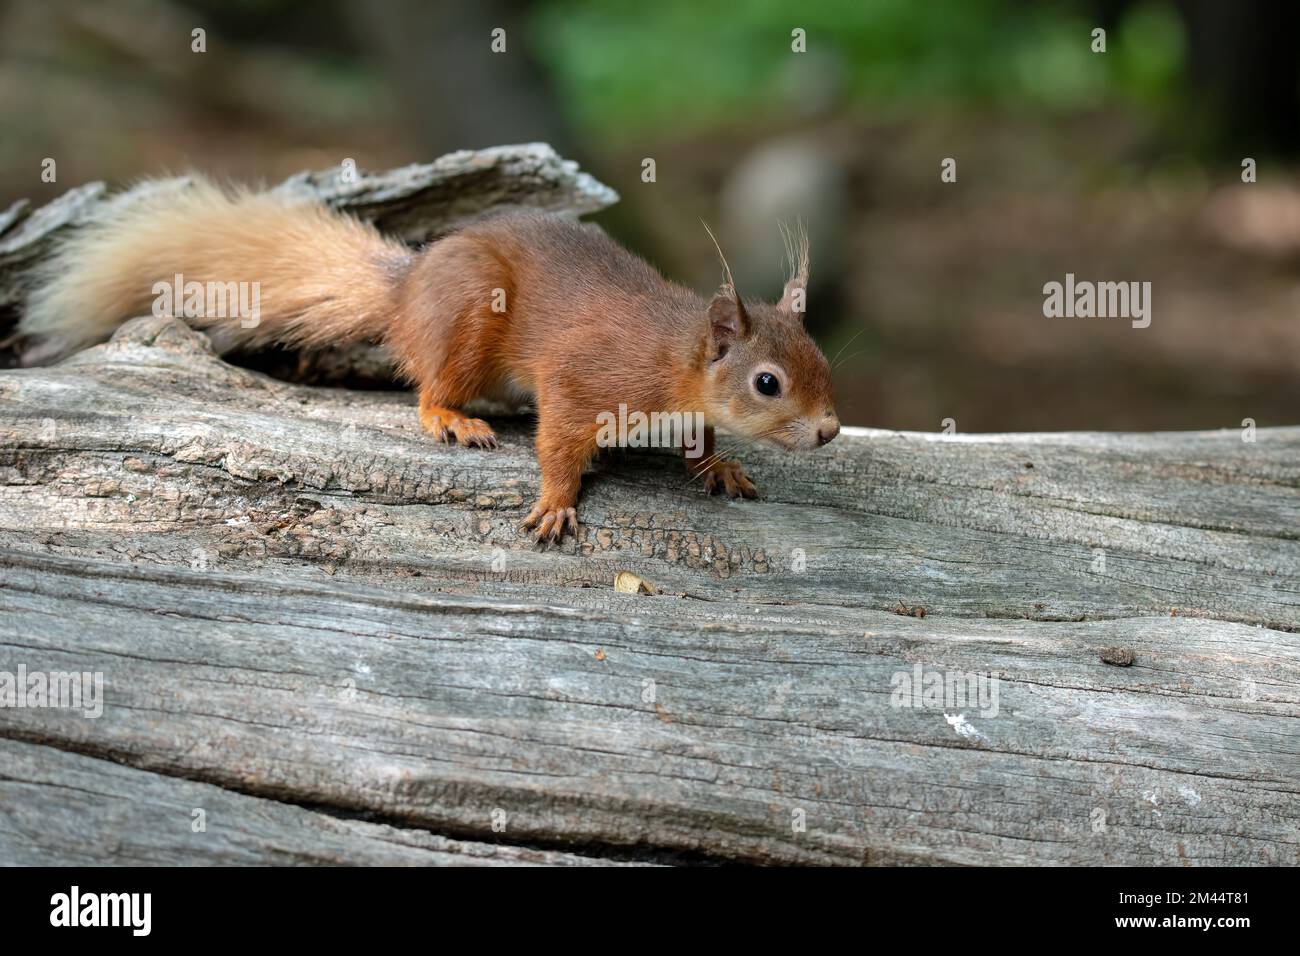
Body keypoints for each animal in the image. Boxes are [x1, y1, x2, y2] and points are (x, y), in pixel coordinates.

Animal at [18, 176, 841, 543]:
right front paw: (556, 501)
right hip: (467, 322)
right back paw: (452, 419)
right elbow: (558, 440)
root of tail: (408, 289)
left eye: (822, 361)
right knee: (428, 388)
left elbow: (700, 436)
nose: (830, 431)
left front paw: (721, 466)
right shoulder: (586, 378)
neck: (678, 356)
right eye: (768, 383)